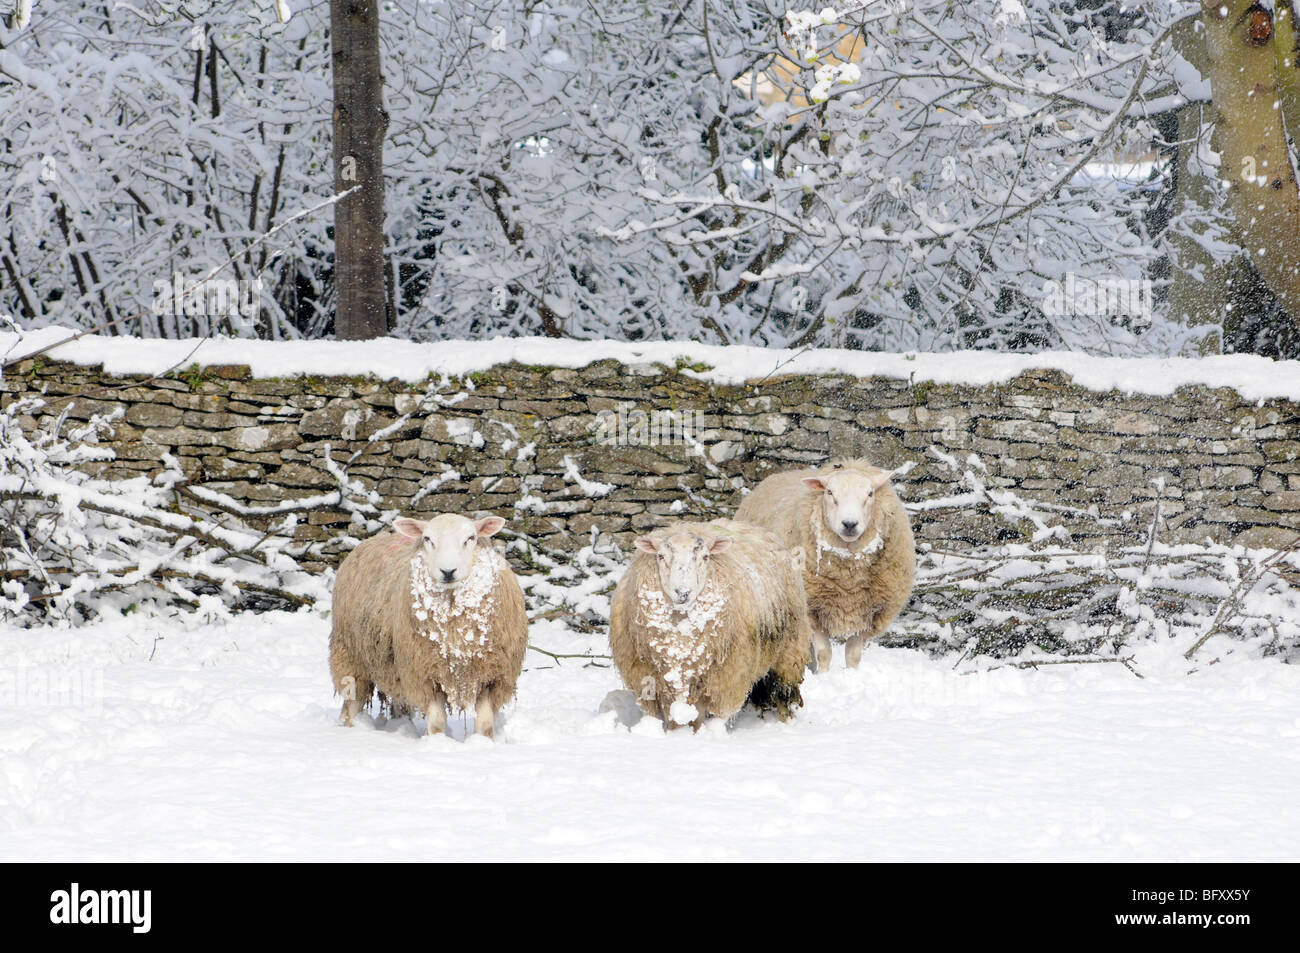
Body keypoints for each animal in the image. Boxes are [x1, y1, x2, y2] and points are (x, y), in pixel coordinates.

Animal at [328, 513, 528, 739]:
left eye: (471, 538)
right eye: (427, 539)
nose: (448, 571)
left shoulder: (492, 675)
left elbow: (485, 724)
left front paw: (483, 742)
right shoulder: (425, 672)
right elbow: (437, 722)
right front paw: (437, 742)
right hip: (350, 656)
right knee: (352, 702)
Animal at [608, 518, 810, 730]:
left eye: (705, 557)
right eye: (660, 556)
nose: (683, 593)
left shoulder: (725, 679)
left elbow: (705, 718)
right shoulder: (651, 681)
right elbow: (673, 718)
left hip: (790, 647)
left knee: (783, 690)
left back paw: (786, 720)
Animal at [735, 459, 915, 672]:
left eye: (870, 494)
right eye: (829, 492)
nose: (849, 524)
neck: (848, 579)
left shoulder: (872, 613)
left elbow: (853, 653)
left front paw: (852, 674)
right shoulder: (811, 610)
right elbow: (824, 652)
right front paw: (823, 674)